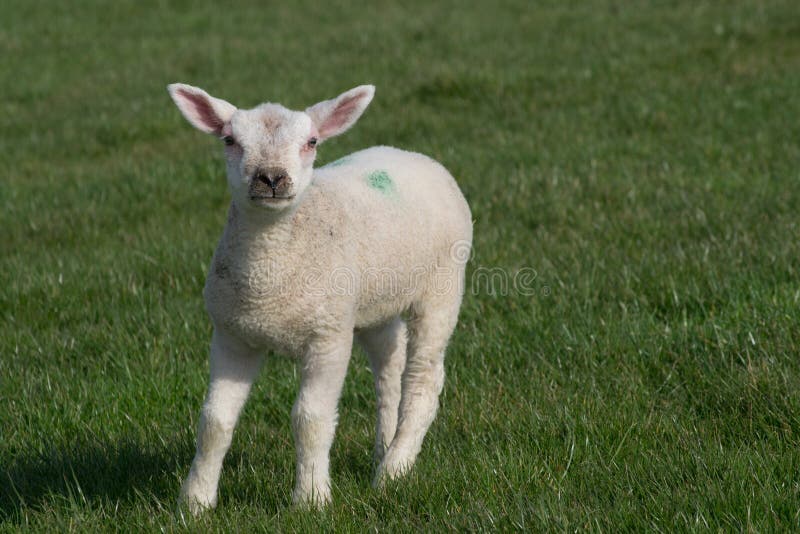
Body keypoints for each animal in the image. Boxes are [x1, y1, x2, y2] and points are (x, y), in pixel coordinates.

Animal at [167, 82, 472, 512]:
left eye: (311, 142)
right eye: (229, 140)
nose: (271, 177)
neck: (268, 284)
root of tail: (411, 155)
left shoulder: (327, 338)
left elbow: (310, 419)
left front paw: (311, 499)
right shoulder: (232, 335)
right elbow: (214, 421)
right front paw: (195, 501)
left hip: (441, 288)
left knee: (424, 380)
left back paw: (393, 470)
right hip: (373, 303)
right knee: (390, 370)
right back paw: (385, 448)